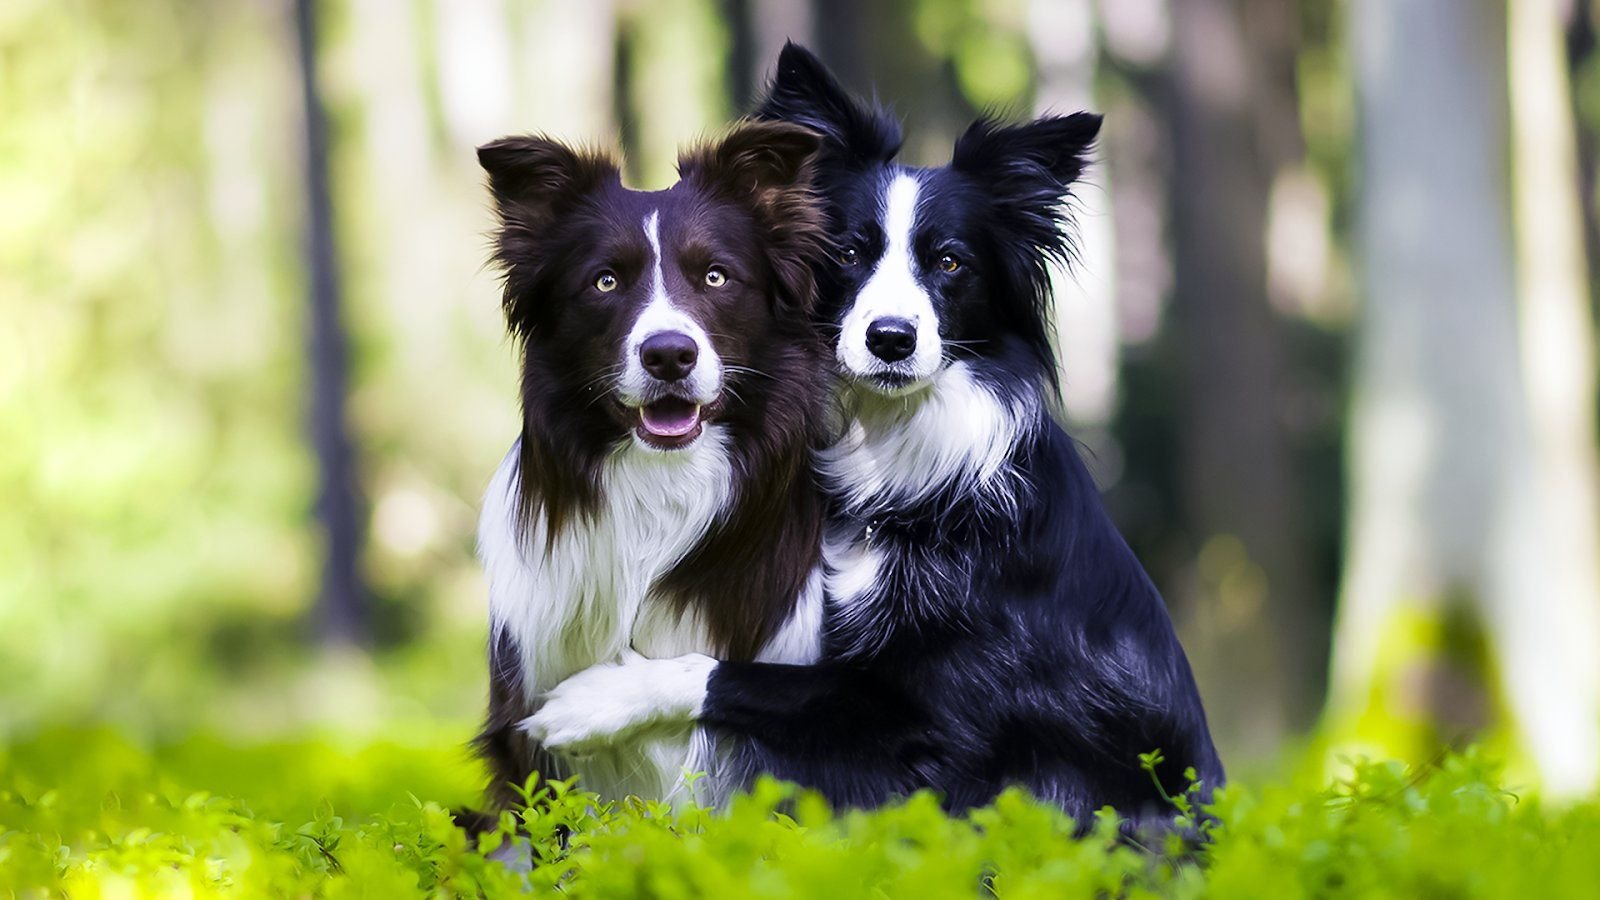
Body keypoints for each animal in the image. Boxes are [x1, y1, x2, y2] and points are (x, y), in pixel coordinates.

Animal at [528, 45, 1222, 826]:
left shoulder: (938, 715)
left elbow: (737, 675)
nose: (891, 338)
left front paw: (595, 699)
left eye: (950, 261)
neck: (903, 465)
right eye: (848, 253)